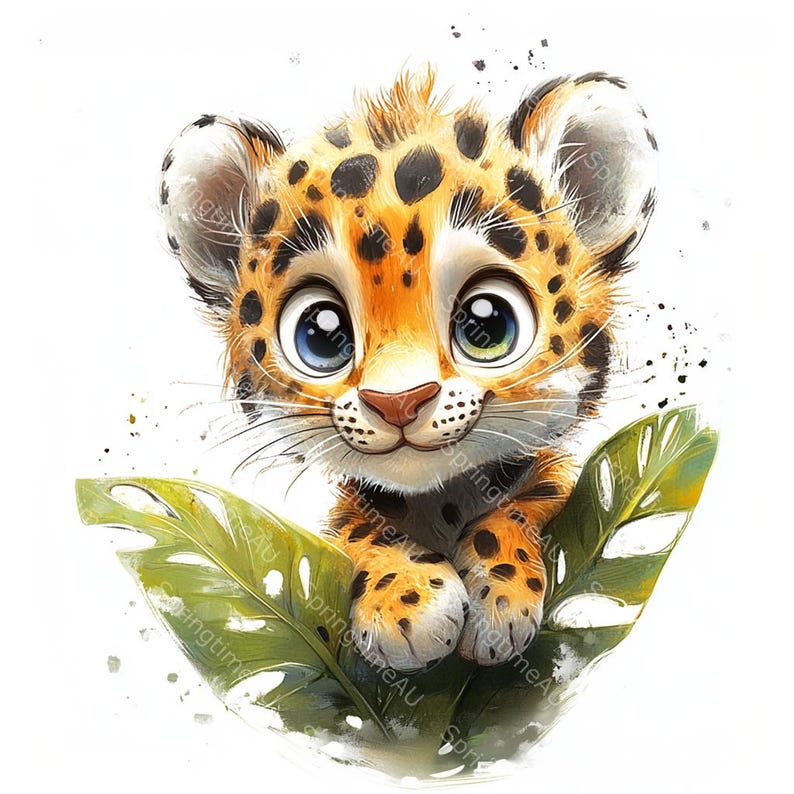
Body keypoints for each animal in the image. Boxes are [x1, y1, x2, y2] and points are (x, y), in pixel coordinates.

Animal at [159, 68, 657, 672]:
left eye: (487, 323)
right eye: (321, 333)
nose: (398, 401)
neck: (440, 501)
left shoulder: (558, 485)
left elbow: (523, 504)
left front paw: (500, 604)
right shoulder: (343, 521)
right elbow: (362, 531)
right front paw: (406, 606)